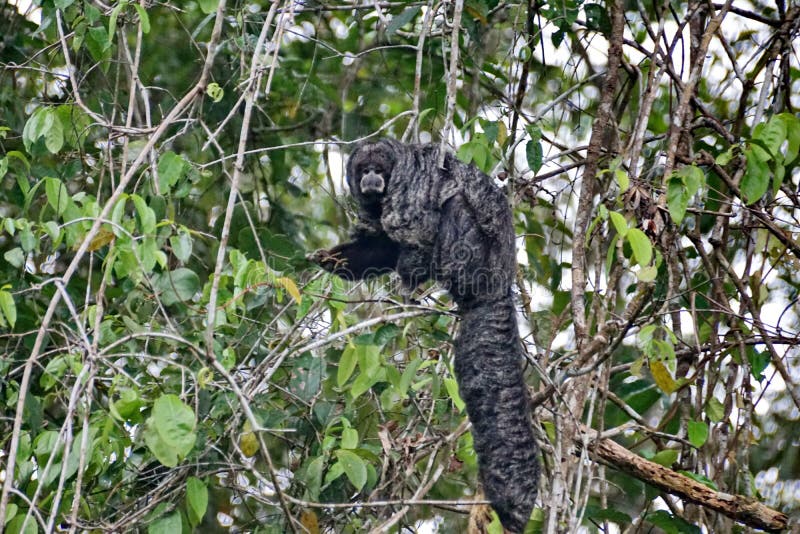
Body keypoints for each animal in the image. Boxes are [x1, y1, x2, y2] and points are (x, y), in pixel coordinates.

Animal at [311, 138, 539, 532]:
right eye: (363, 170)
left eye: (380, 170)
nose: (371, 178)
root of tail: (499, 281)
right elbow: (380, 244)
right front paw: (330, 259)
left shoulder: (407, 191)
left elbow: (417, 228)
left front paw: (410, 268)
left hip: (474, 255)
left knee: (454, 209)